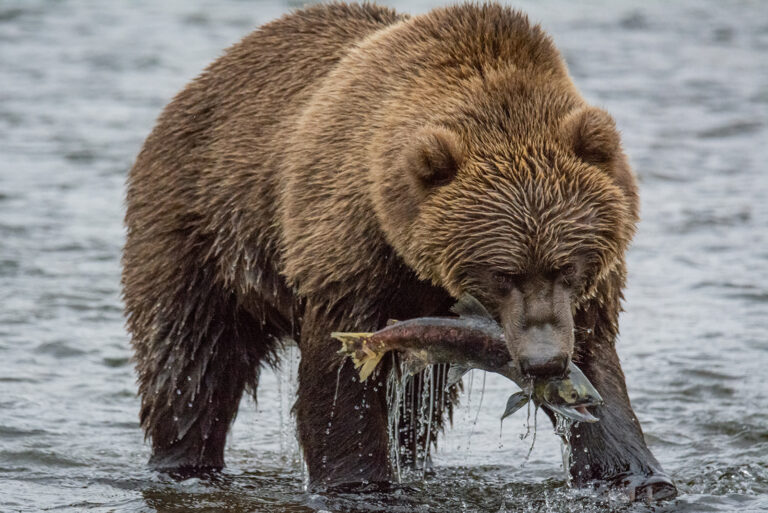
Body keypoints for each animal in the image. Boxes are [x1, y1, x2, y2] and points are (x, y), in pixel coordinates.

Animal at [122, 2, 676, 500]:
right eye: (502, 273)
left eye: (566, 267)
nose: (544, 363)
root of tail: (207, 75)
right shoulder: (352, 246)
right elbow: (341, 383)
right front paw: (358, 483)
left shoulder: (586, 292)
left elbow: (598, 365)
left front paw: (634, 475)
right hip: (204, 228)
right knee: (190, 362)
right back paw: (185, 460)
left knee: (415, 408)